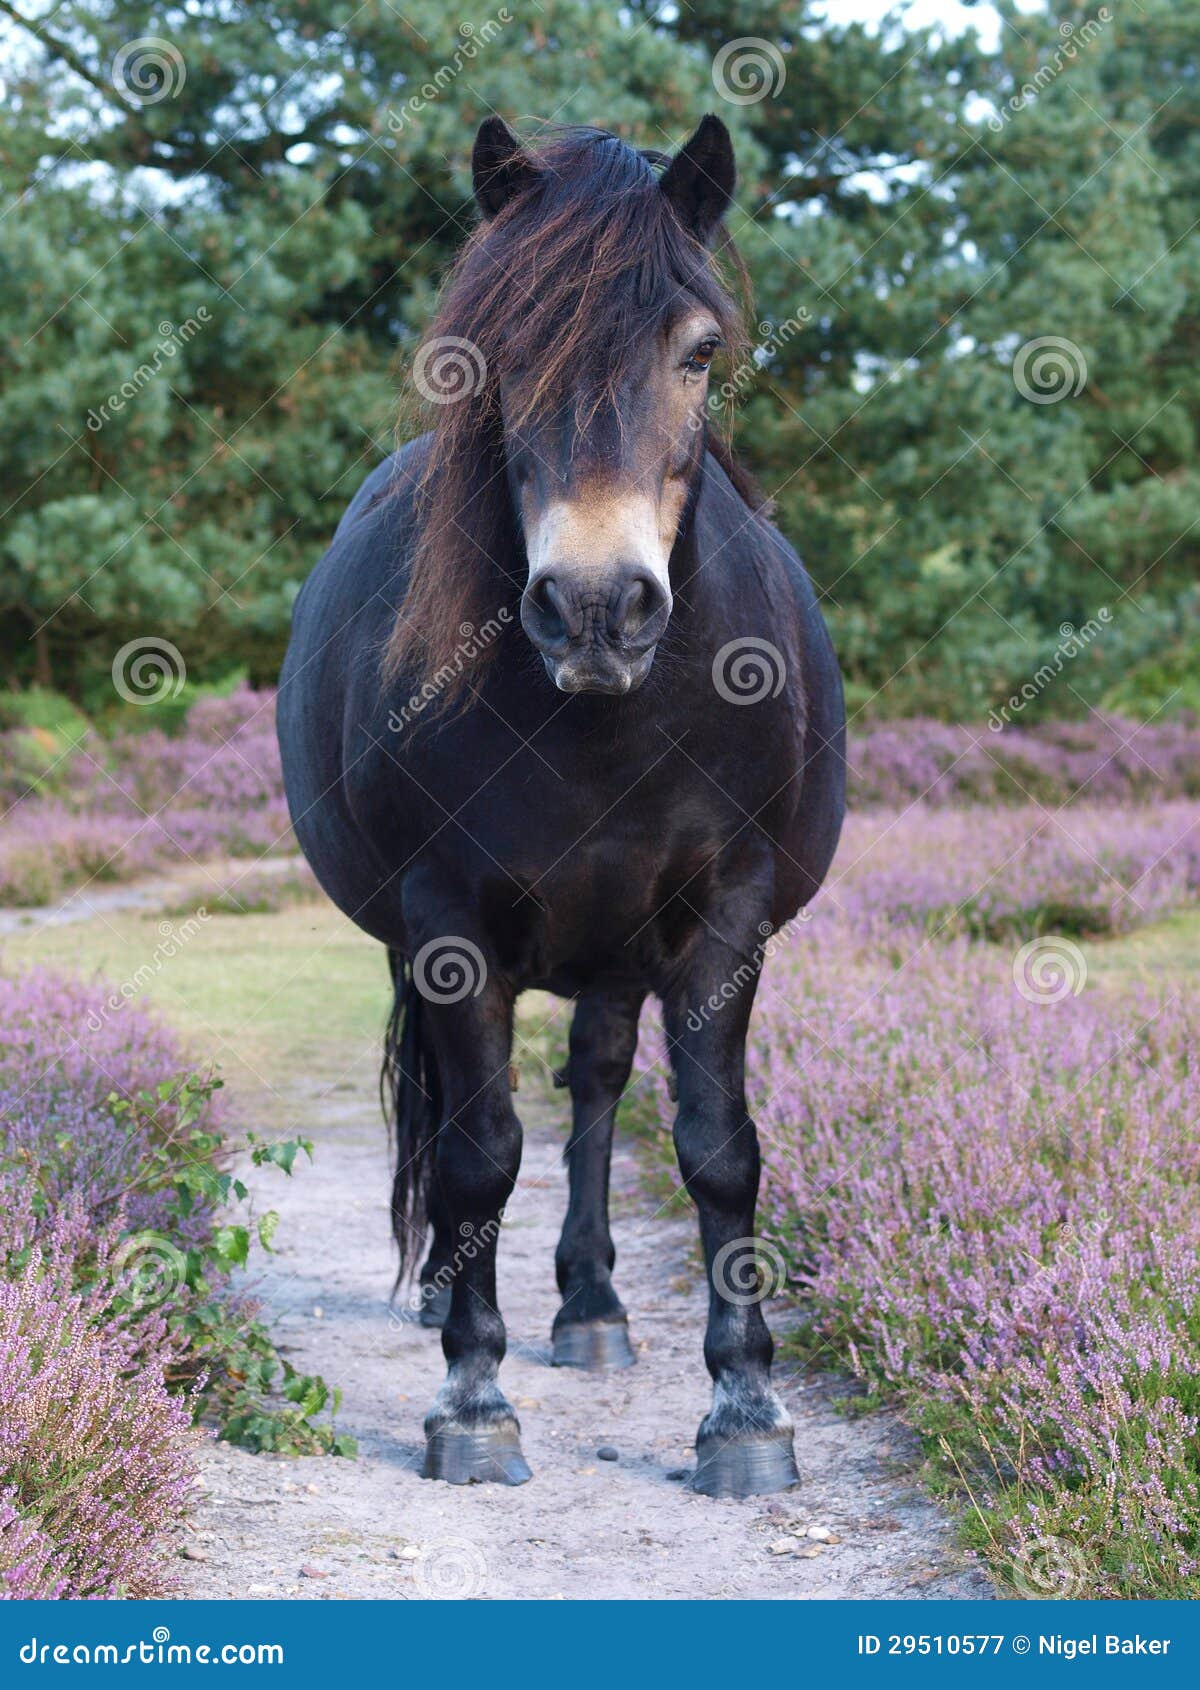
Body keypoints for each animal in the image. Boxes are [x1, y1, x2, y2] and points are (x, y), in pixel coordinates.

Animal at [277, 114, 846, 1500]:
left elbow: (716, 1145)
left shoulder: (724, 915)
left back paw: (591, 1307)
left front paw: (746, 1409)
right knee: (457, 1116)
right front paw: (473, 1402)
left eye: (698, 352)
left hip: (620, 943)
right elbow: (481, 1151)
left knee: (594, 1082)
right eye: (501, 355)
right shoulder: (446, 924)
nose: (595, 607)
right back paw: (454, 1297)